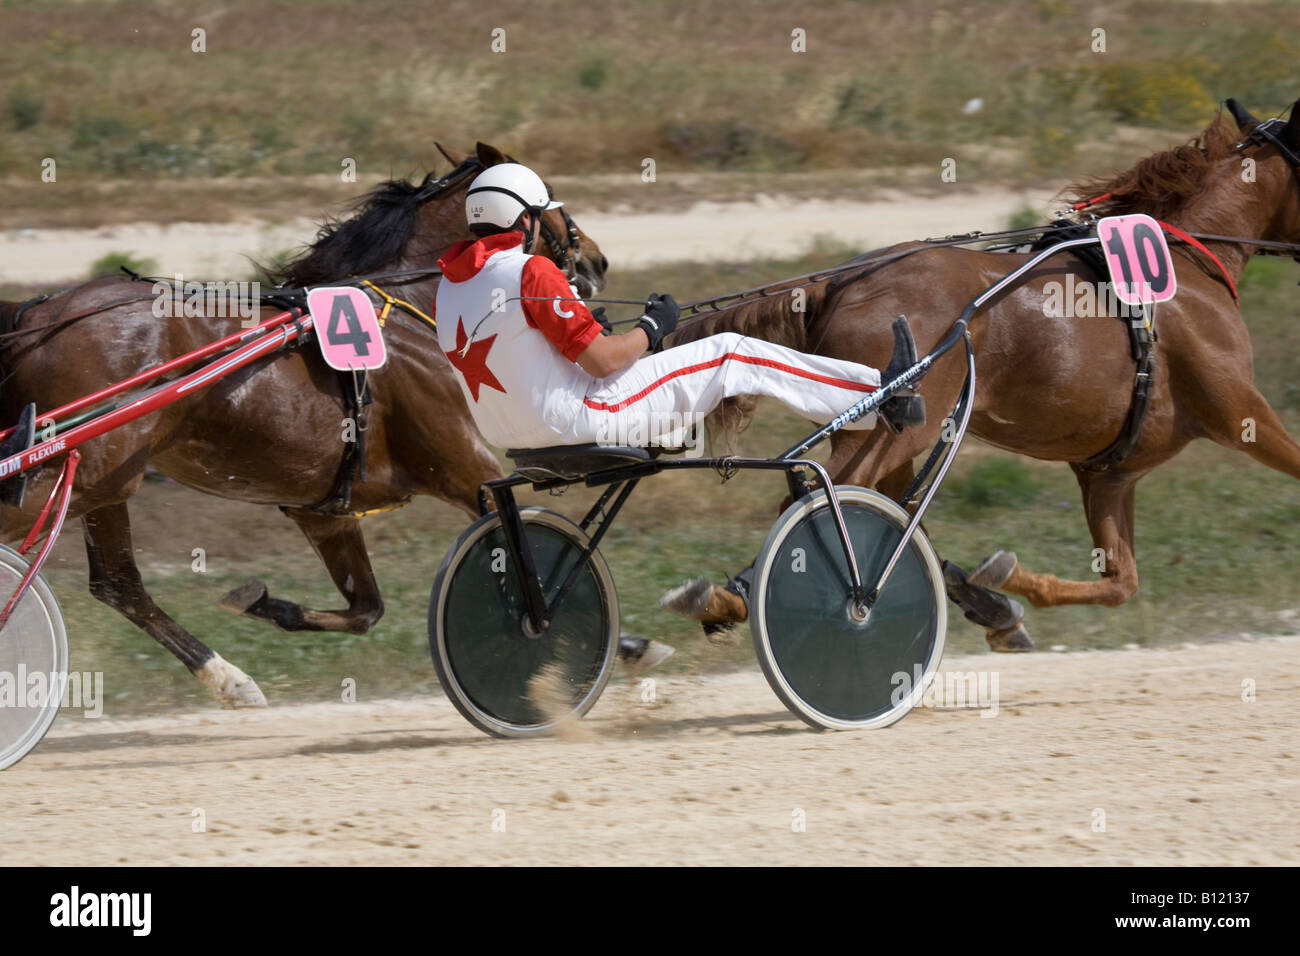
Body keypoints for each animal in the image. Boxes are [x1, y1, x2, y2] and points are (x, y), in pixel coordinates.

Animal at [0, 141, 608, 707]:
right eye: (551, 197)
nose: (597, 263)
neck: (408, 310)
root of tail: (40, 314)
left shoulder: (323, 511)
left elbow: (365, 609)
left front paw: (262, 603)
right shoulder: (467, 469)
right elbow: (527, 559)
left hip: (104, 481)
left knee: (119, 585)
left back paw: (231, 680)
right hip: (87, 470)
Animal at [664, 99, 1300, 651]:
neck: (1183, 267)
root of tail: (841, 284)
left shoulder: (1110, 474)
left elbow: (1121, 583)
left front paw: (998, 590)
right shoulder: (1241, 415)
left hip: (892, 429)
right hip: (898, 427)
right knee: (822, 498)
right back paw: (755, 597)